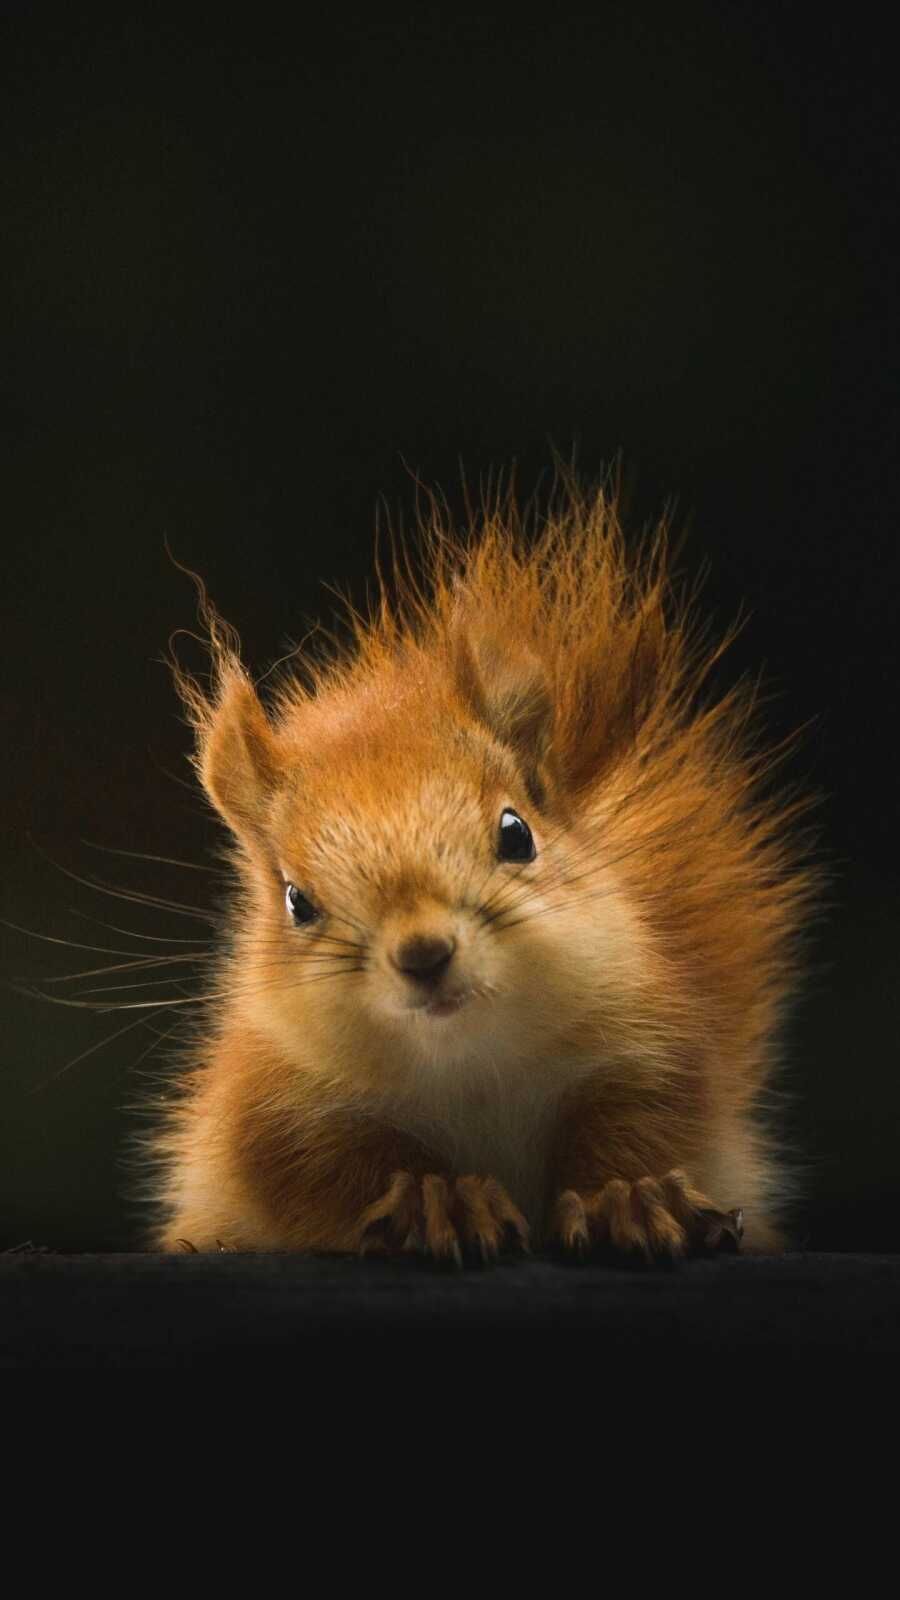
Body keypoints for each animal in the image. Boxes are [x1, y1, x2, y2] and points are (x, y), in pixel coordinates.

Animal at [140, 469, 820, 1262]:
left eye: (517, 834)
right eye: (296, 901)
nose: (424, 954)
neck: (468, 1062)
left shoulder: (650, 1043)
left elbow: (644, 1125)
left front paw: (630, 1196)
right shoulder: (275, 1107)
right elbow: (330, 1170)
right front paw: (439, 1199)